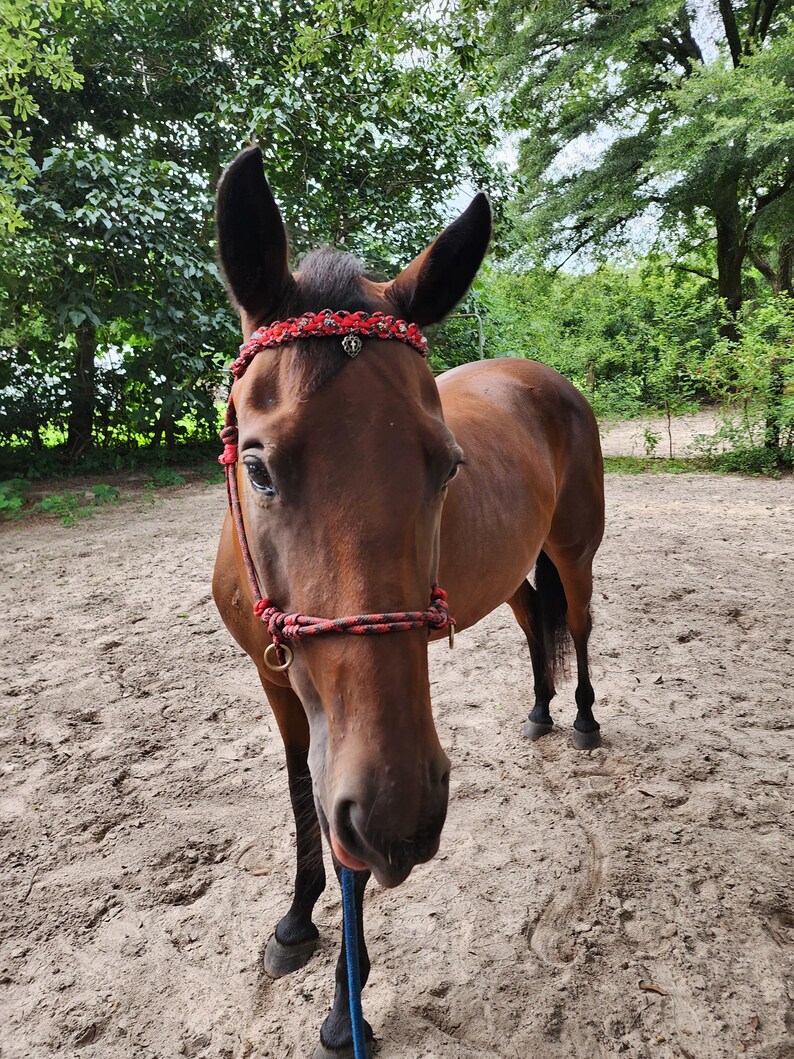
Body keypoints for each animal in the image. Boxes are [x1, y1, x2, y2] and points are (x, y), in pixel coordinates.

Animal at [212, 146, 605, 1058]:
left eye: (446, 465)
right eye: (259, 465)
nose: (403, 817)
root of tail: (545, 378)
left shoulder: (358, 731)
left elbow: (344, 848)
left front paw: (345, 1002)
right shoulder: (281, 683)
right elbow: (303, 799)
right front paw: (295, 920)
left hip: (574, 552)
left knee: (578, 623)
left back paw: (581, 717)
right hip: (513, 573)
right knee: (534, 622)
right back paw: (540, 709)